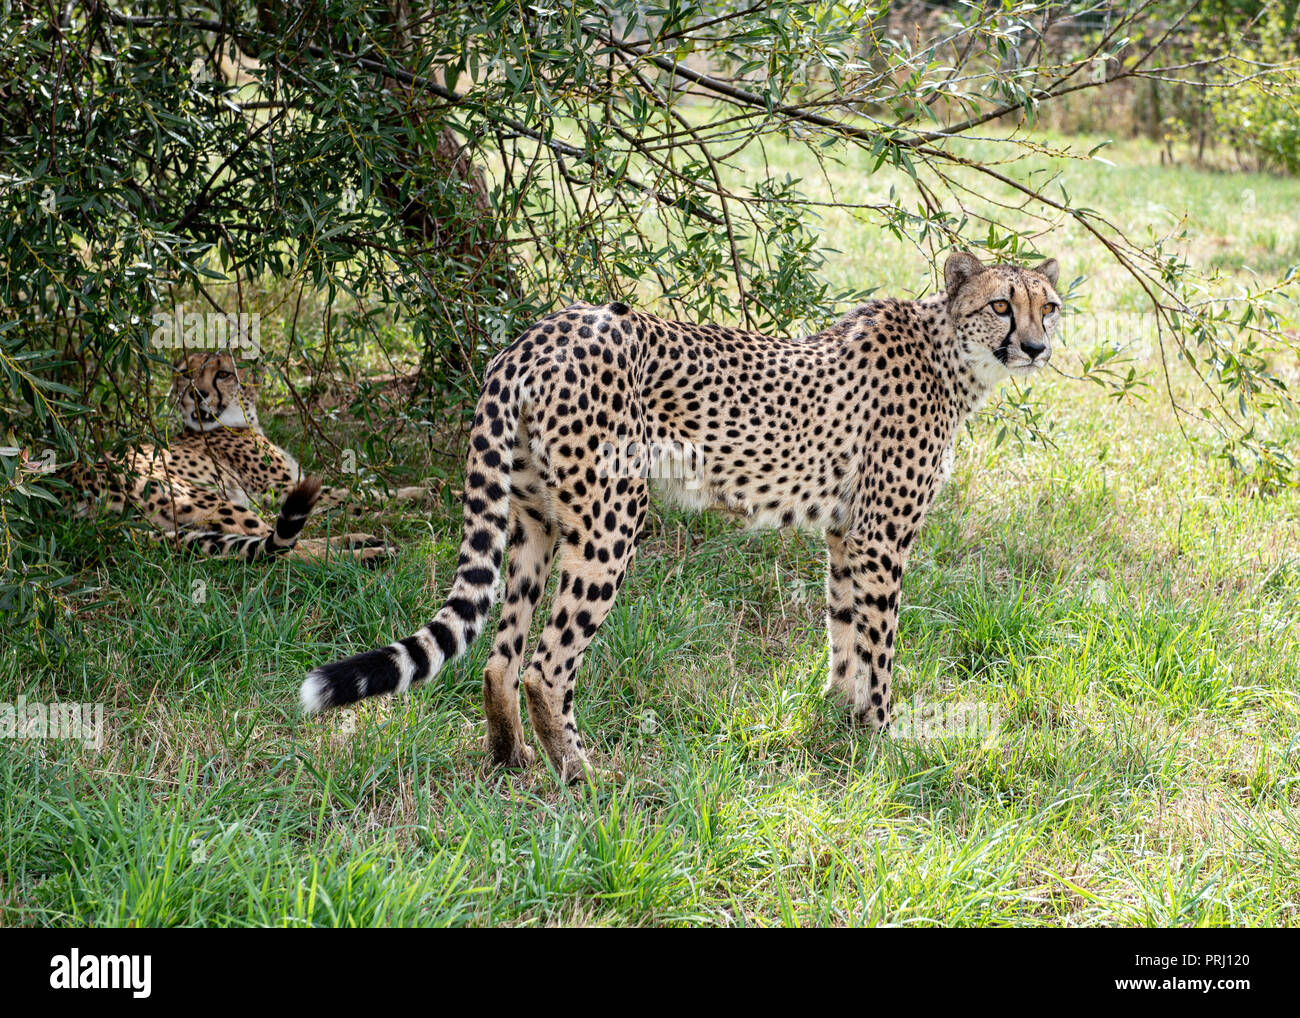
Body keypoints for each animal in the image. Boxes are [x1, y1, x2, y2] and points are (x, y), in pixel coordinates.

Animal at [69, 351, 424, 564]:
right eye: (185, 374)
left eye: (224, 374)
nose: (196, 394)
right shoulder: (280, 491)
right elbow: (355, 497)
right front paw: (420, 502)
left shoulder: (291, 488)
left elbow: (362, 493)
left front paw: (418, 493)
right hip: (202, 498)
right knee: (281, 548)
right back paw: (365, 553)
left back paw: (359, 540)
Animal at [301, 251, 1062, 782]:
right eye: (1001, 304)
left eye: (1048, 306)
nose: (1035, 347)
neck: (951, 356)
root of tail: (537, 333)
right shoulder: (880, 539)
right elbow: (878, 645)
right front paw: (880, 737)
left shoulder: (846, 536)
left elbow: (844, 633)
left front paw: (836, 721)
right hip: (612, 517)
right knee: (548, 663)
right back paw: (582, 775)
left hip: (533, 522)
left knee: (501, 654)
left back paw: (511, 759)